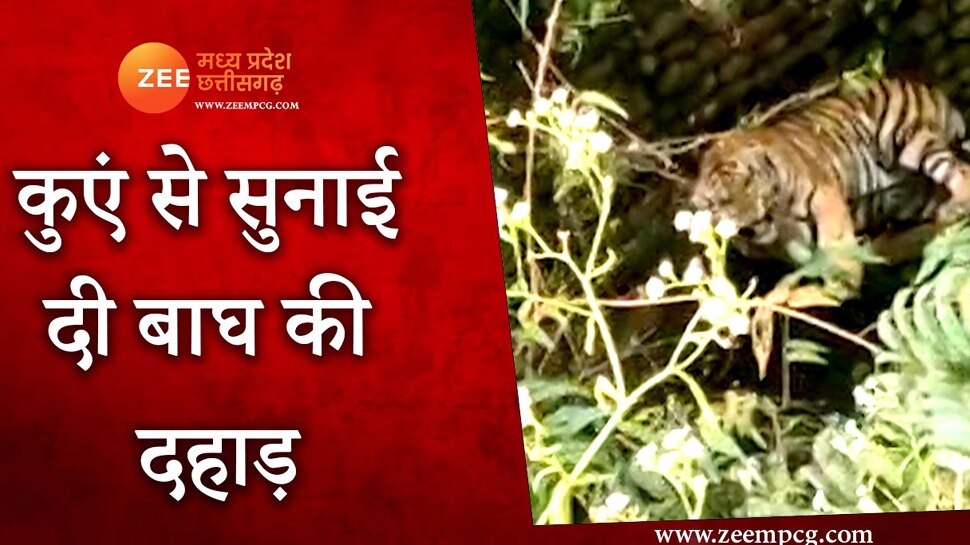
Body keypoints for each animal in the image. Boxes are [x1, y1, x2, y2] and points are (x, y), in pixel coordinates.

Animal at [691, 78, 970, 299]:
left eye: (747, 182)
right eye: (718, 204)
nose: (752, 220)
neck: (778, 217)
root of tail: (928, 88)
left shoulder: (821, 192)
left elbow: (833, 236)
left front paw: (847, 274)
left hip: (907, 138)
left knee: (960, 171)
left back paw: (955, 206)